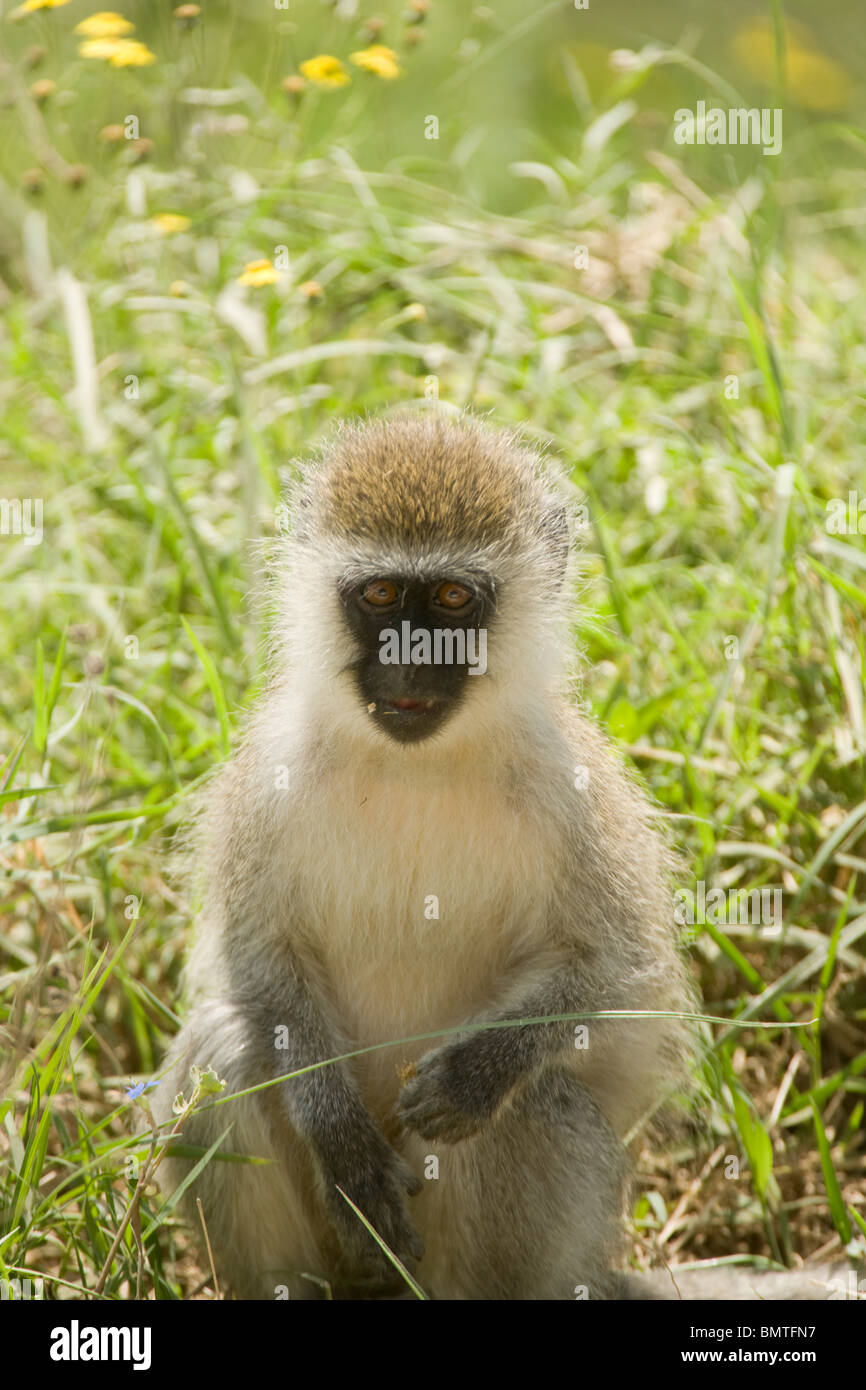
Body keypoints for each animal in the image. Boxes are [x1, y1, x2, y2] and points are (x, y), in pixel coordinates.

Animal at [154, 411, 694, 1301]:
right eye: (379, 596)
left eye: (450, 599)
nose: (410, 658)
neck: (418, 761)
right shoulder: (264, 783)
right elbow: (256, 960)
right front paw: (343, 1146)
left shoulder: (577, 792)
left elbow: (625, 977)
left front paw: (477, 1071)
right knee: (227, 1047)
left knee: (525, 1105)